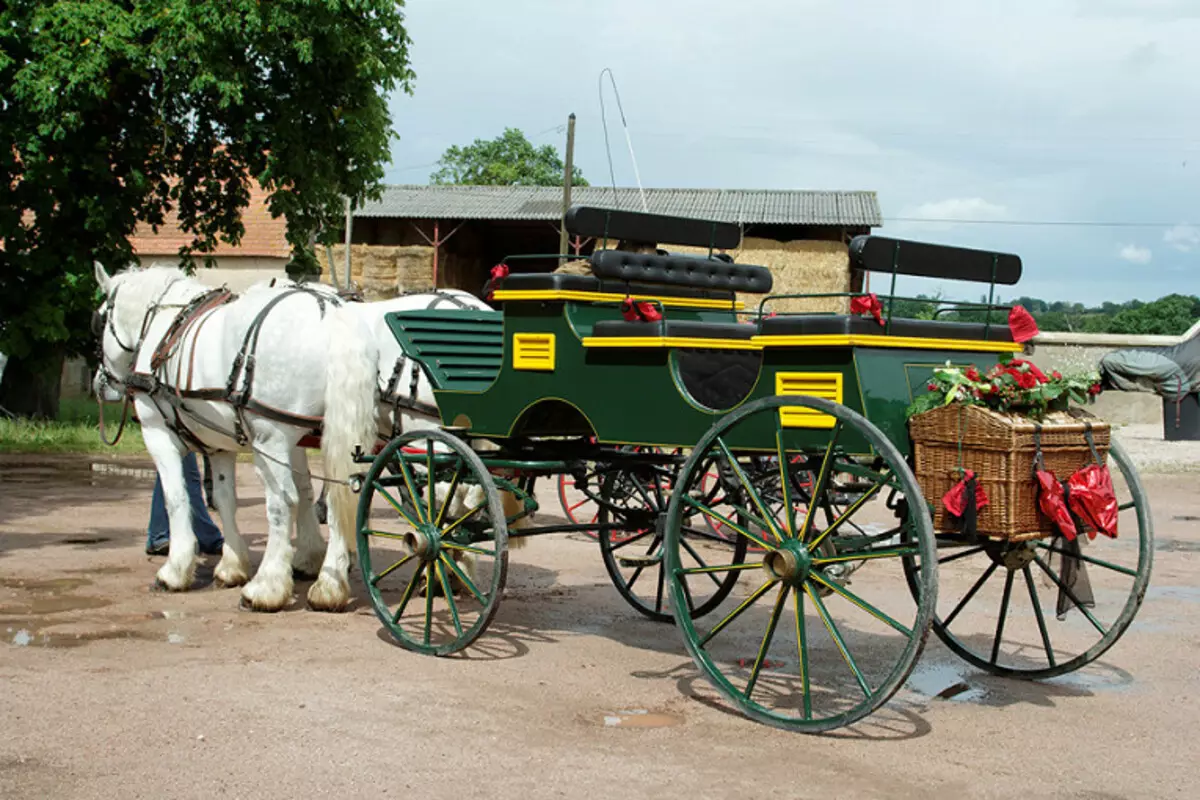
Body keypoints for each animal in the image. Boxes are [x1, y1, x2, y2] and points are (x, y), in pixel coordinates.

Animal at [94, 263, 379, 614]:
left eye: (99, 319)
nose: (101, 382)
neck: (167, 326)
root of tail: (333, 312)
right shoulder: (220, 445)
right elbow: (225, 499)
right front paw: (233, 566)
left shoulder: (157, 432)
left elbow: (177, 498)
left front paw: (175, 570)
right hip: (330, 435)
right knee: (342, 494)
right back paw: (329, 585)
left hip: (271, 437)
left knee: (283, 502)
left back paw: (267, 587)